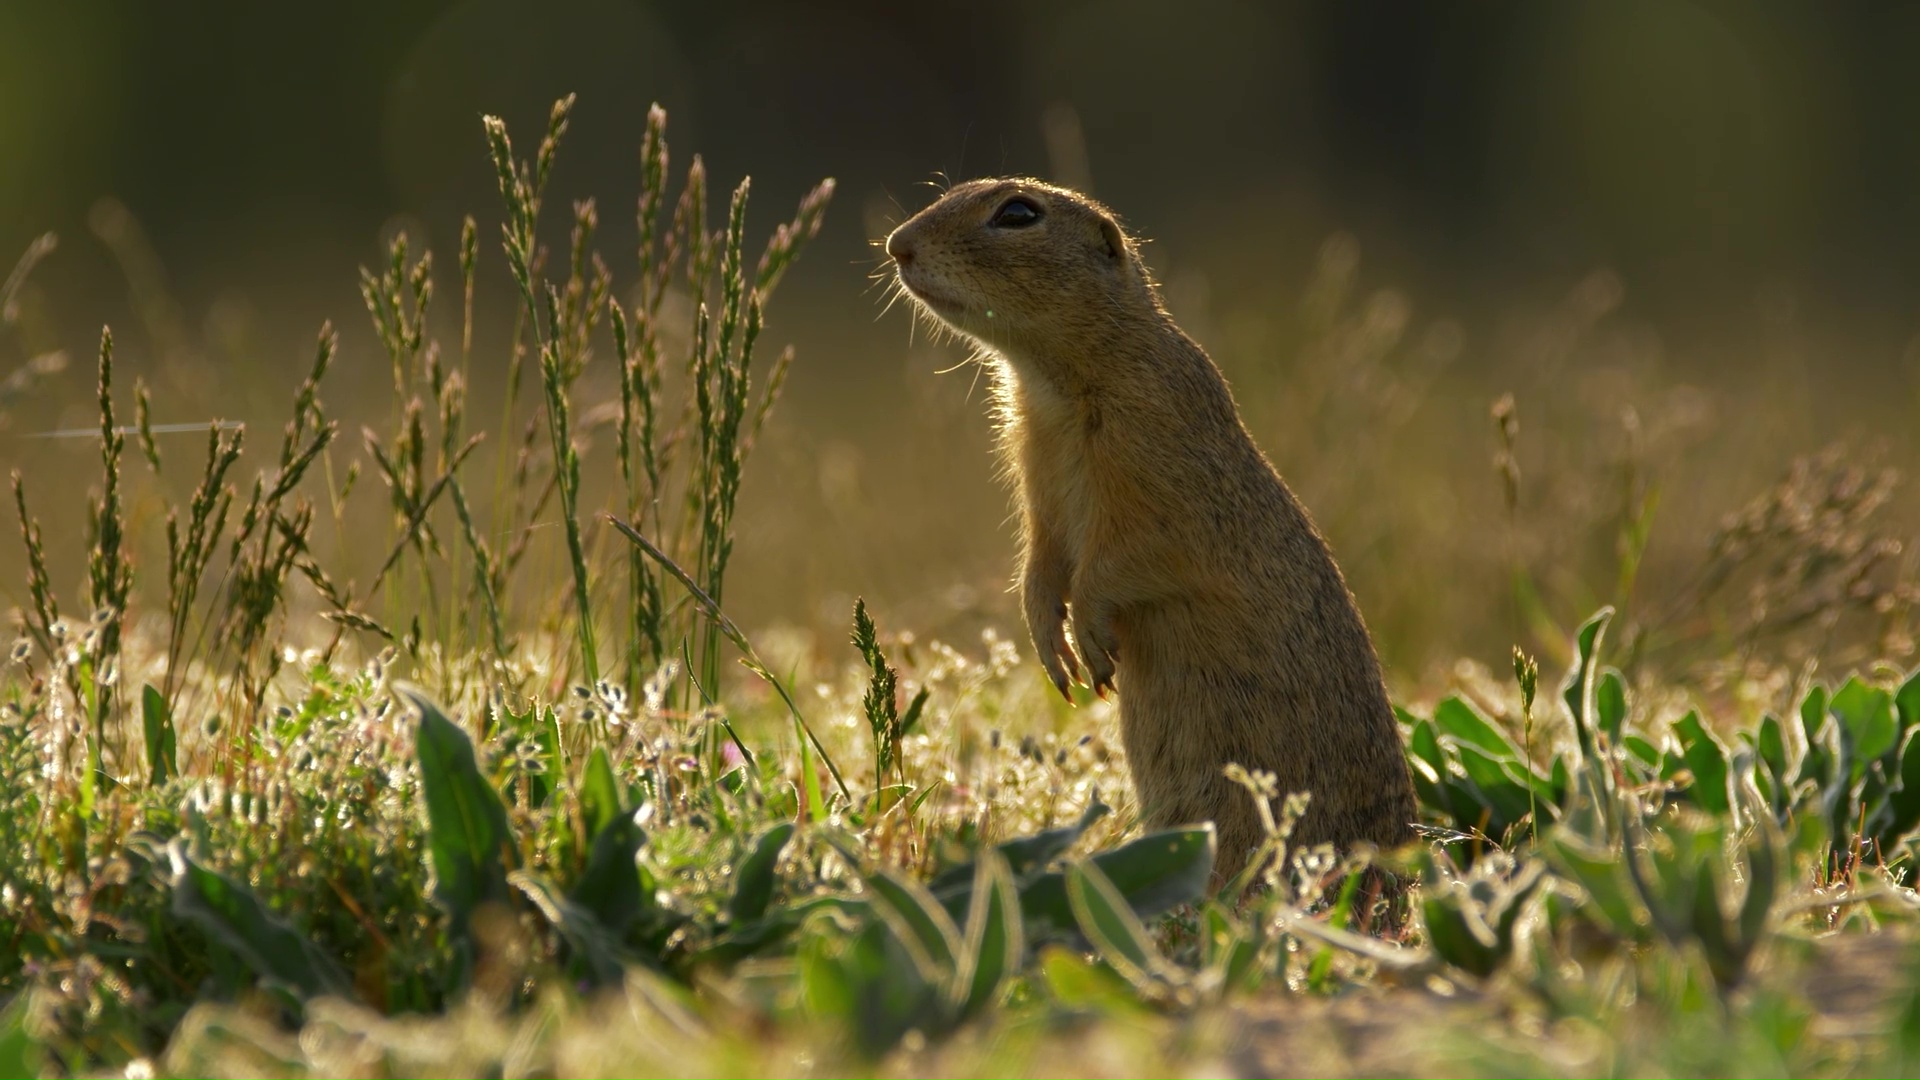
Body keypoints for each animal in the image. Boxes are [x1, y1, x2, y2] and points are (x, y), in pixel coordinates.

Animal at [884, 178, 1418, 886]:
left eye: (1018, 213)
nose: (898, 245)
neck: (1052, 383)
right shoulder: (1037, 481)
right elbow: (1042, 557)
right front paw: (1048, 639)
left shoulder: (1157, 470)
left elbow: (1128, 557)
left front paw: (1086, 637)